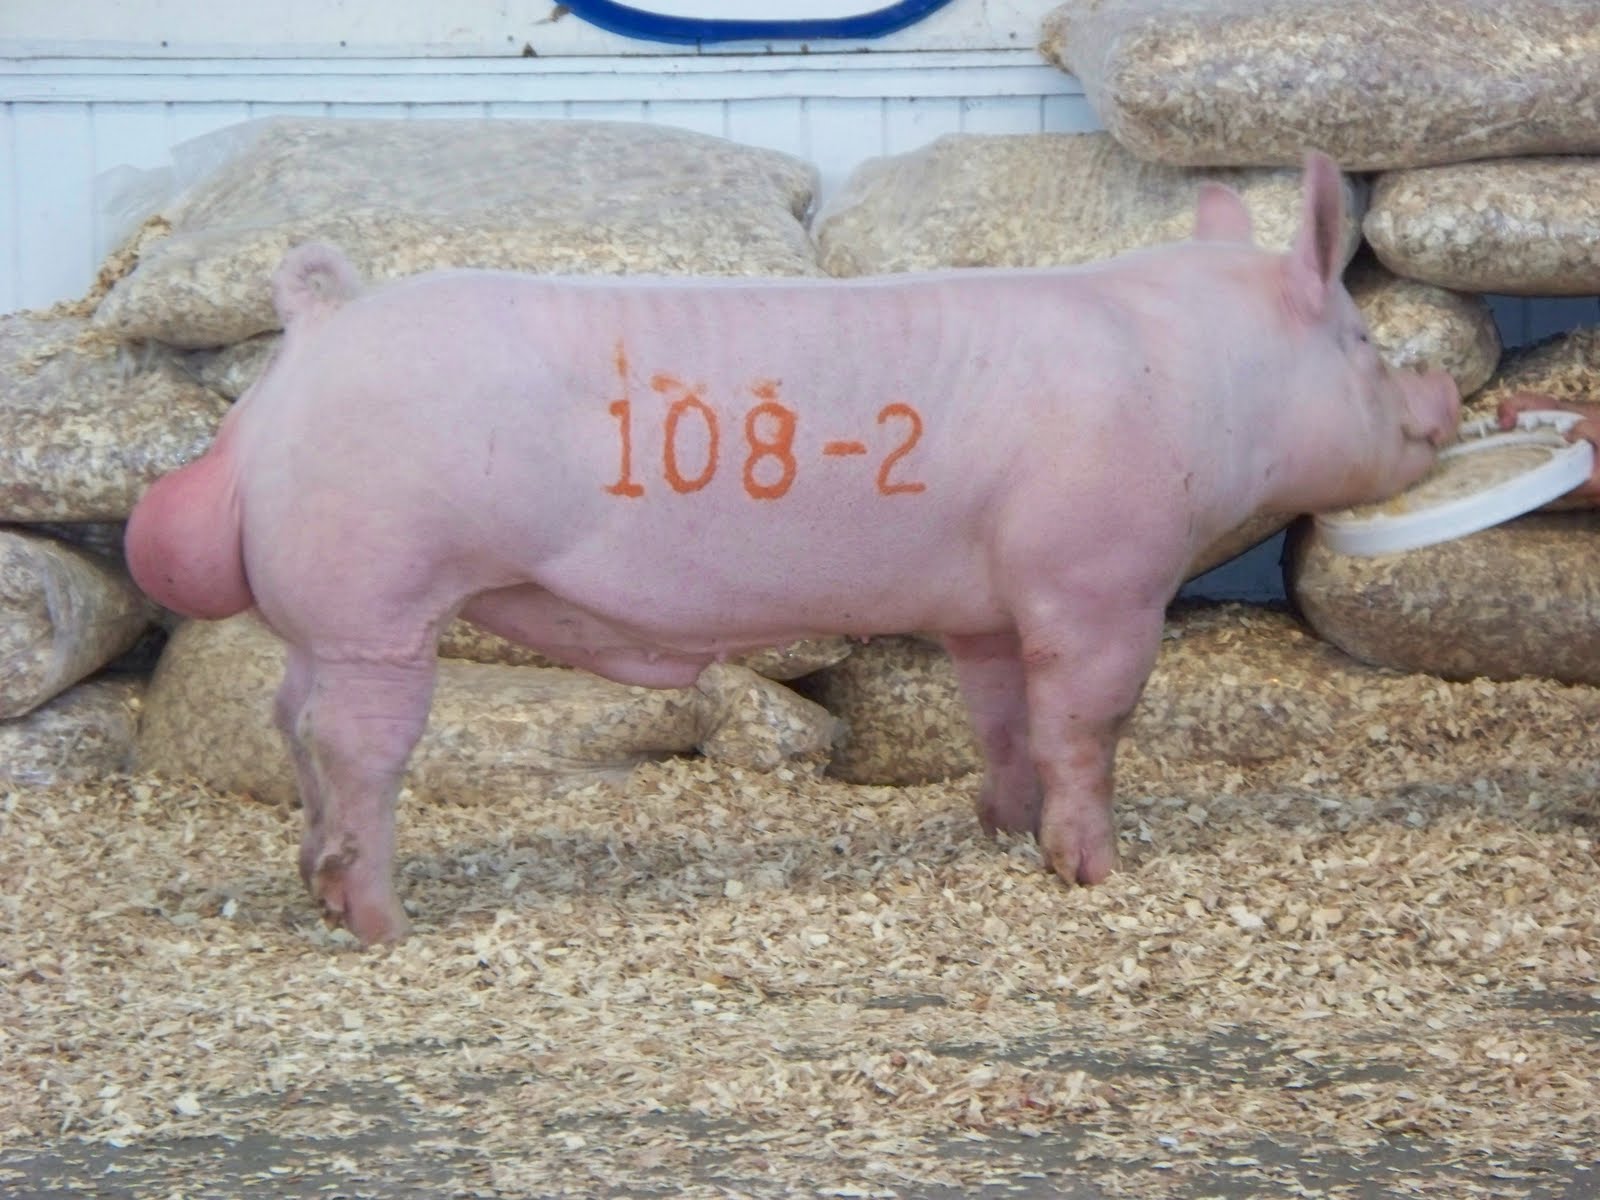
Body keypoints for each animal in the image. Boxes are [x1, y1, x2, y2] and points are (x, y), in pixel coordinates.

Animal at [125, 152, 1459, 946]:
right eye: (1357, 341)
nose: (1442, 398)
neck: (1199, 383)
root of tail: (318, 329)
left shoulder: (989, 603)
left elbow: (1000, 719)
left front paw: (999, 827)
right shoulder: (1098, 578)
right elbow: (1089, 721)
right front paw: (1090, 871)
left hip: (323, 611)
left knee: (290, 719)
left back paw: (316, 884)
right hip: (381, 594)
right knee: (356, 742)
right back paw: (382, 921)